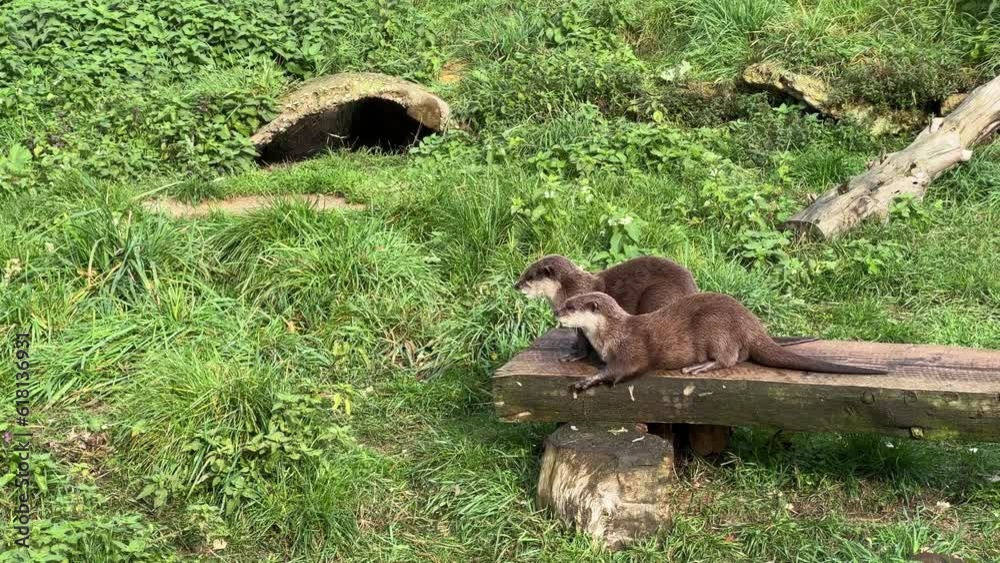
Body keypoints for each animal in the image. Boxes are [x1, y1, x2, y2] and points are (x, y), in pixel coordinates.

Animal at [514, 255, 815, 362]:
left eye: (529, 277)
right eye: (523, 272)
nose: (516, 285)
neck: (570, 289)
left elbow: (583, 343)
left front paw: (573, 357)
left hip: (656, 297)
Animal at [555, 292, 886, 391]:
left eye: (571, 306)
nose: (556, 311)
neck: (611, 334)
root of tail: (751, 325)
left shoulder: (630, 348)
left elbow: (625, 369)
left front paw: (589, 380)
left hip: (715, 327)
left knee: (728, 359)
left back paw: (699, 367)